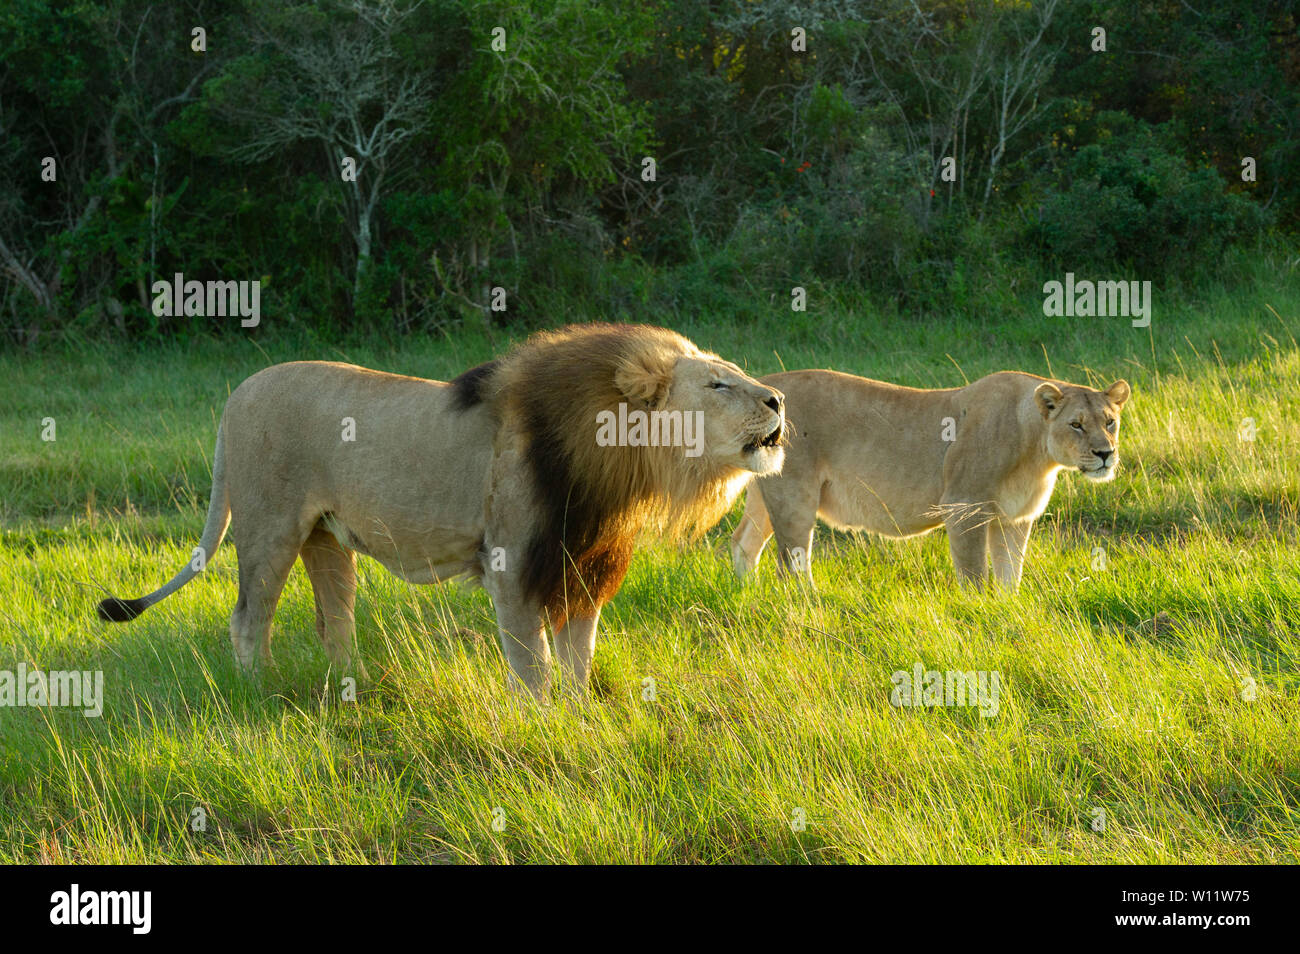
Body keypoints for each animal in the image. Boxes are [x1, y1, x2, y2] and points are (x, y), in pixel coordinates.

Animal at [96, 323, 786, 698]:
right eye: (719, 384)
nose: (779, 399)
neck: (623, 461)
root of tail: (235, 395)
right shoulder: (514, 564)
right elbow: (533, 666)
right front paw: (543, 726)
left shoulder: (583, 564)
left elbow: (577, 659)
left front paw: (579, 718)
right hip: (270, 529)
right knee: (248, 617)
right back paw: (258, 693)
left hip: (326, 539)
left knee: (333, 620)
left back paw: (354, 691)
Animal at [730, 370, 1130, 590]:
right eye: (1076, 424)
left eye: (1110, 421)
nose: (1105, 453)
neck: (1037, 454)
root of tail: (764, 386)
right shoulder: (964, 507)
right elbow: (974, 576)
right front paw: (979, 616)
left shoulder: (1014, 519)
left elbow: (1009, 576)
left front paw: (1007, 610)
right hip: (795, 497)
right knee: (791, 565)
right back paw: (810, 603)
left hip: (769, 493)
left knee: (743, 542)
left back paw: (745, 595)